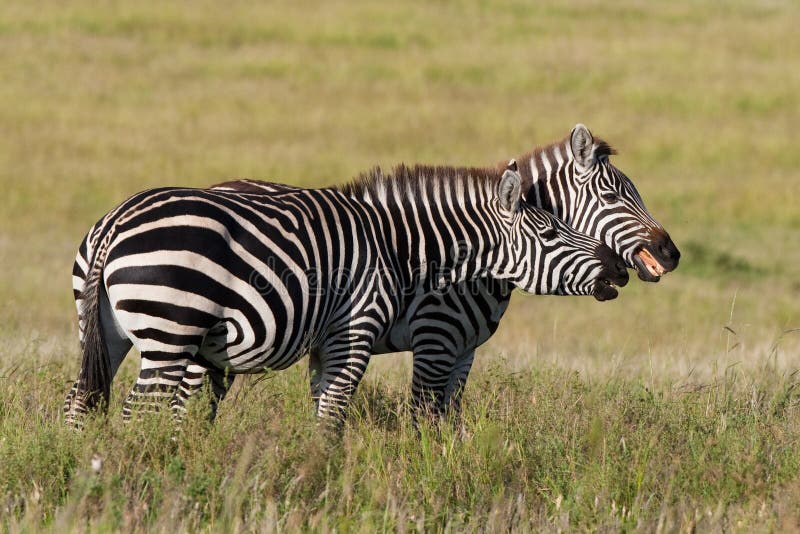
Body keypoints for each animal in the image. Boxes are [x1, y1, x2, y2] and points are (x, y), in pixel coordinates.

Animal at [63, 160, 629, 426]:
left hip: (108, 329)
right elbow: (342, 414)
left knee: (81, 400)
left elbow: (324, 413)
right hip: (171, 330)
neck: (400, 247)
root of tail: (115, 222)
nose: (618, 272)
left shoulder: (327, 342)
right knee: (143, 411)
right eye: (551, 233)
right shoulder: (363, 332)